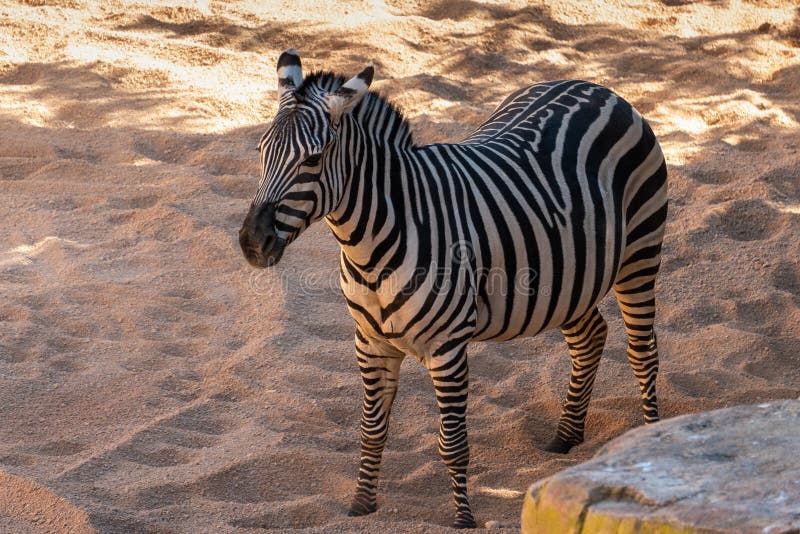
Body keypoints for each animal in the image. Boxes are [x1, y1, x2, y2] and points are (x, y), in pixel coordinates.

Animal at [239, 49, 667, 529]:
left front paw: (463, 517)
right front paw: (360, 507)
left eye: (312, 160)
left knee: (642, 351)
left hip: (640, 251)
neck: (371, 244)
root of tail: (593, 85)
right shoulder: (369, 343)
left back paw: (650, 436)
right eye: (260, 152)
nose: (251, 242)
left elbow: (452, 442)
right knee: (591, 337)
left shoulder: (447, 348)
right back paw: (565, 436)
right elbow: (371, 432)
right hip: (567, 278)